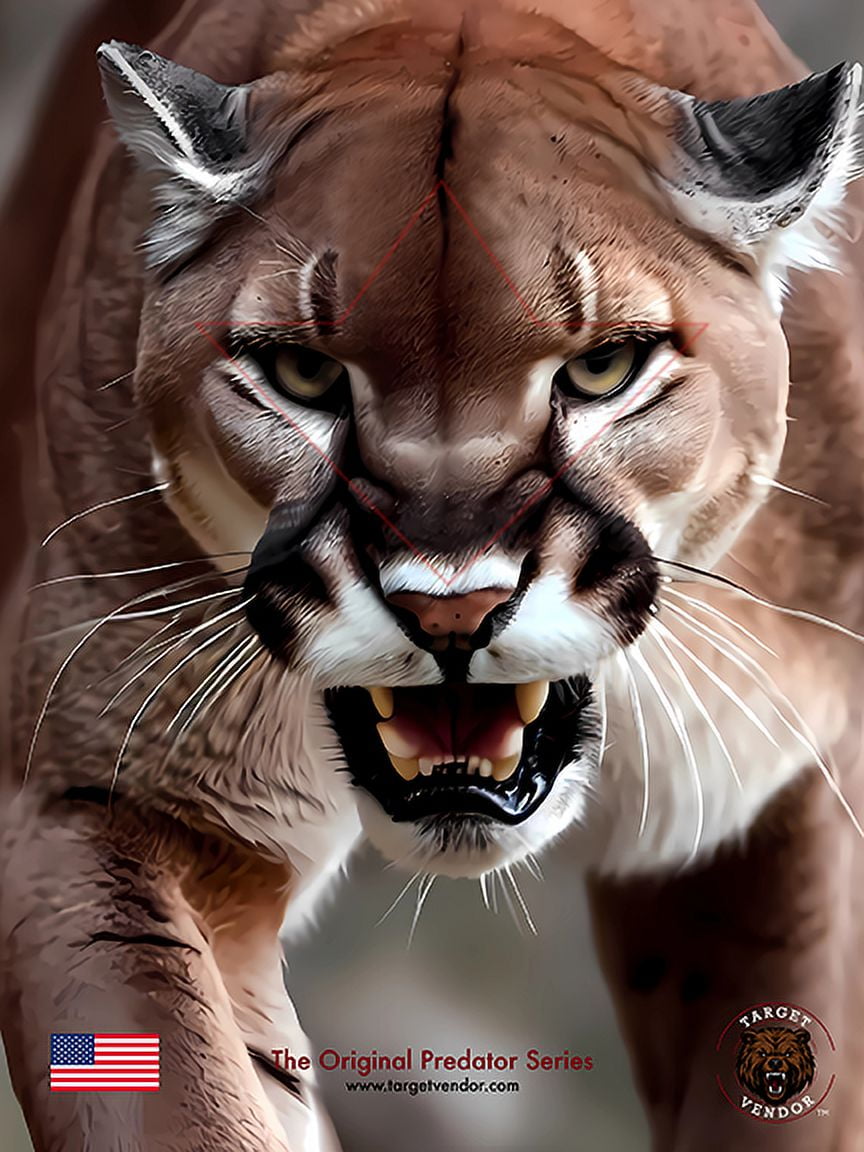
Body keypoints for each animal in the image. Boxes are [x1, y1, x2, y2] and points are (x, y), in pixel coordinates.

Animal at [2, 0, 864, 1149]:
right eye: (300, 372)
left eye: (604, 367)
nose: (451, 606)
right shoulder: (111, 797)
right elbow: (180, 1095)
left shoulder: (780, 775)